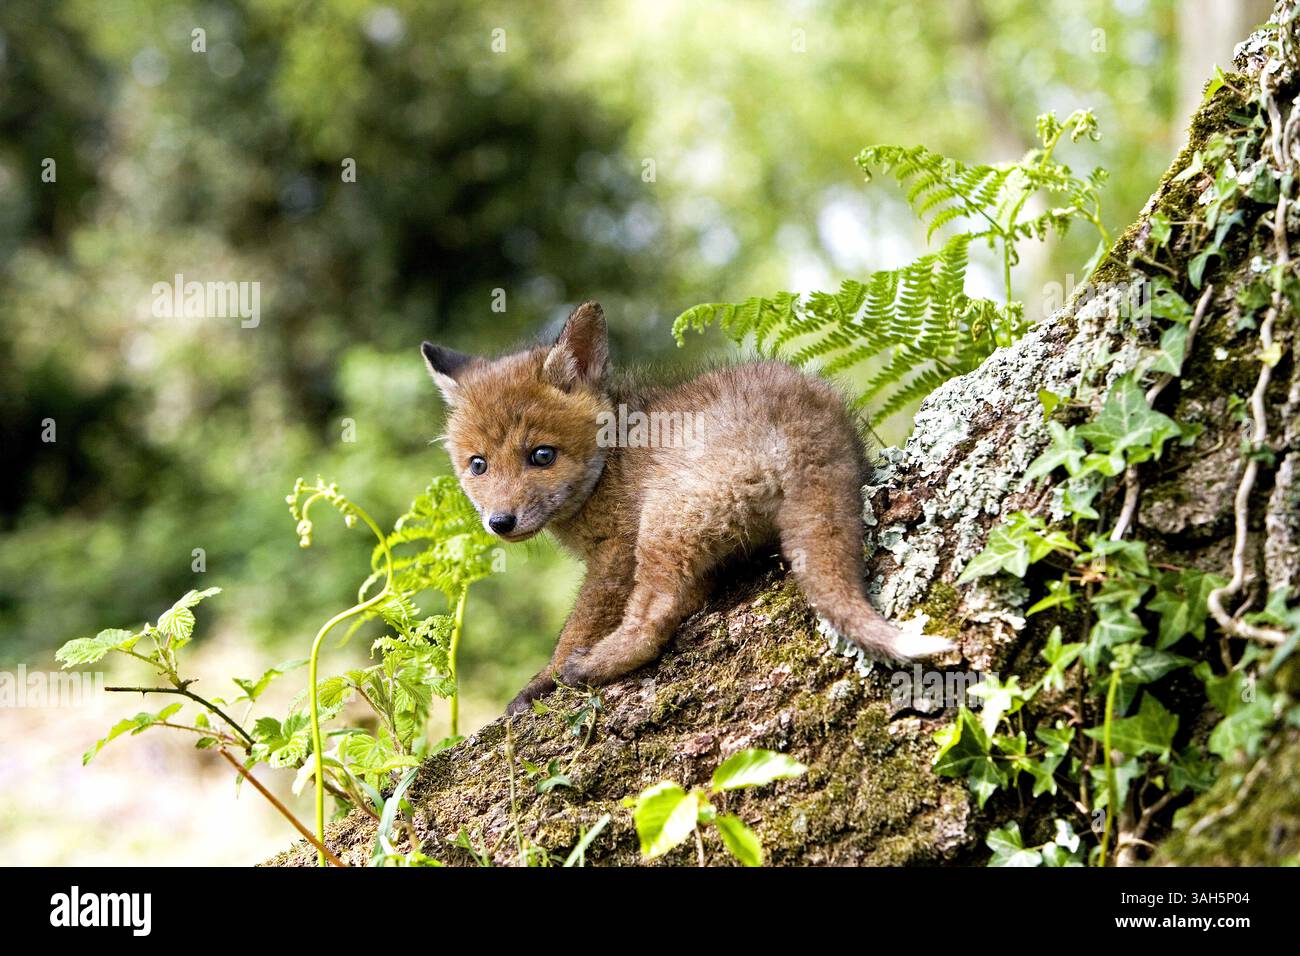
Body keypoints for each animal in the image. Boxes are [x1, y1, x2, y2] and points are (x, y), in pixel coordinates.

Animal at [421, 301, 954, 716]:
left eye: (542, 456)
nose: (500, 522)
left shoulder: (617, 550)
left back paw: (592, 666)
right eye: (477, 465)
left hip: (664, 519)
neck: (611, 460)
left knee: (656, 617)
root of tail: (812, 424)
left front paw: (542, 681)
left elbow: (575, 628)